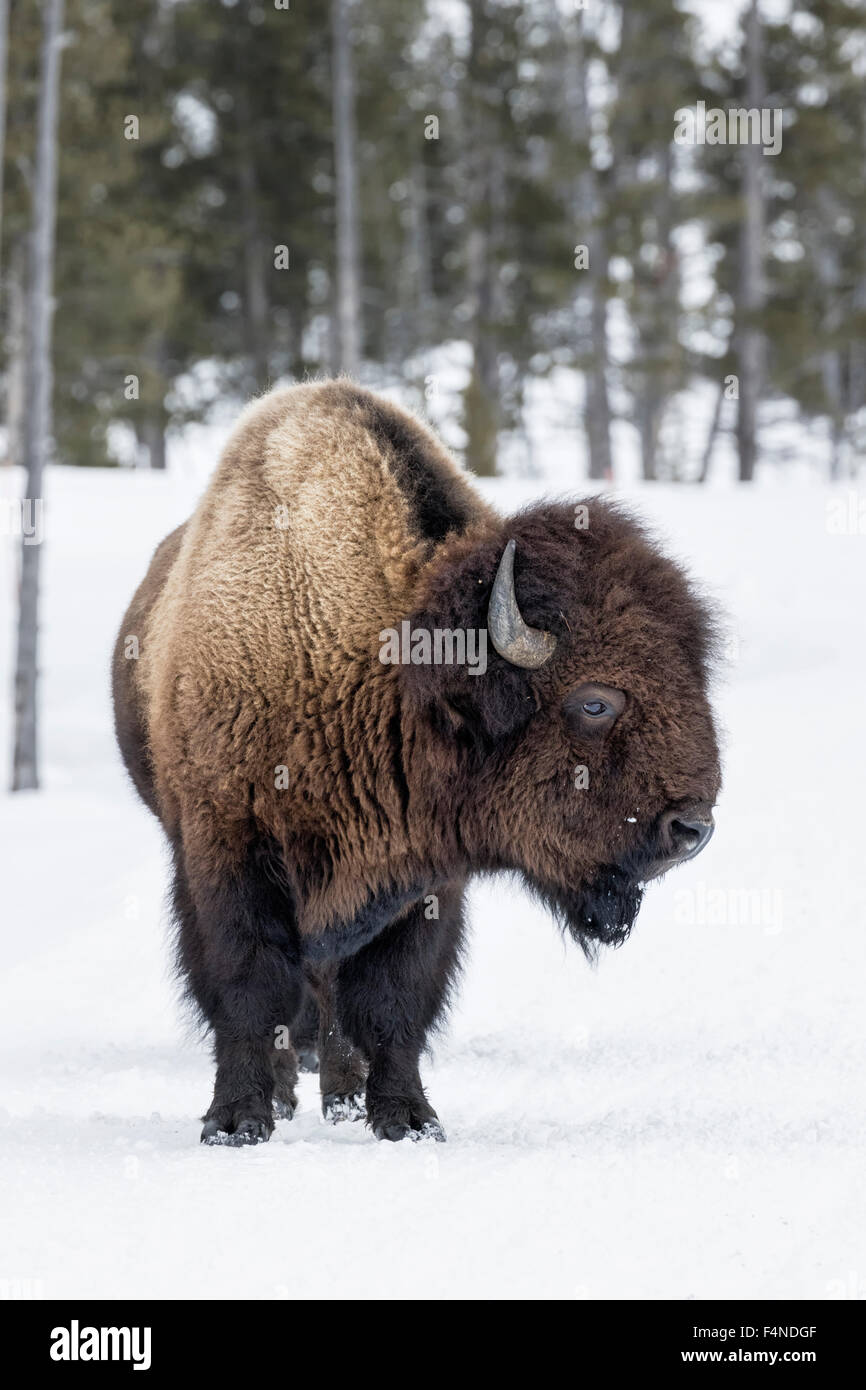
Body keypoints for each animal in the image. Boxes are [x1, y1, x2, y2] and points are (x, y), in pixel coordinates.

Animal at [112, 381, 721, 1145]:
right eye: (594, 702)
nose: (692, 828)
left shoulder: (424, 883)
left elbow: (393, 1001)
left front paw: (406, 1119)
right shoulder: (225, 852)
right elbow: (248, 989)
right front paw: (236, 1121)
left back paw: (343, 1099)